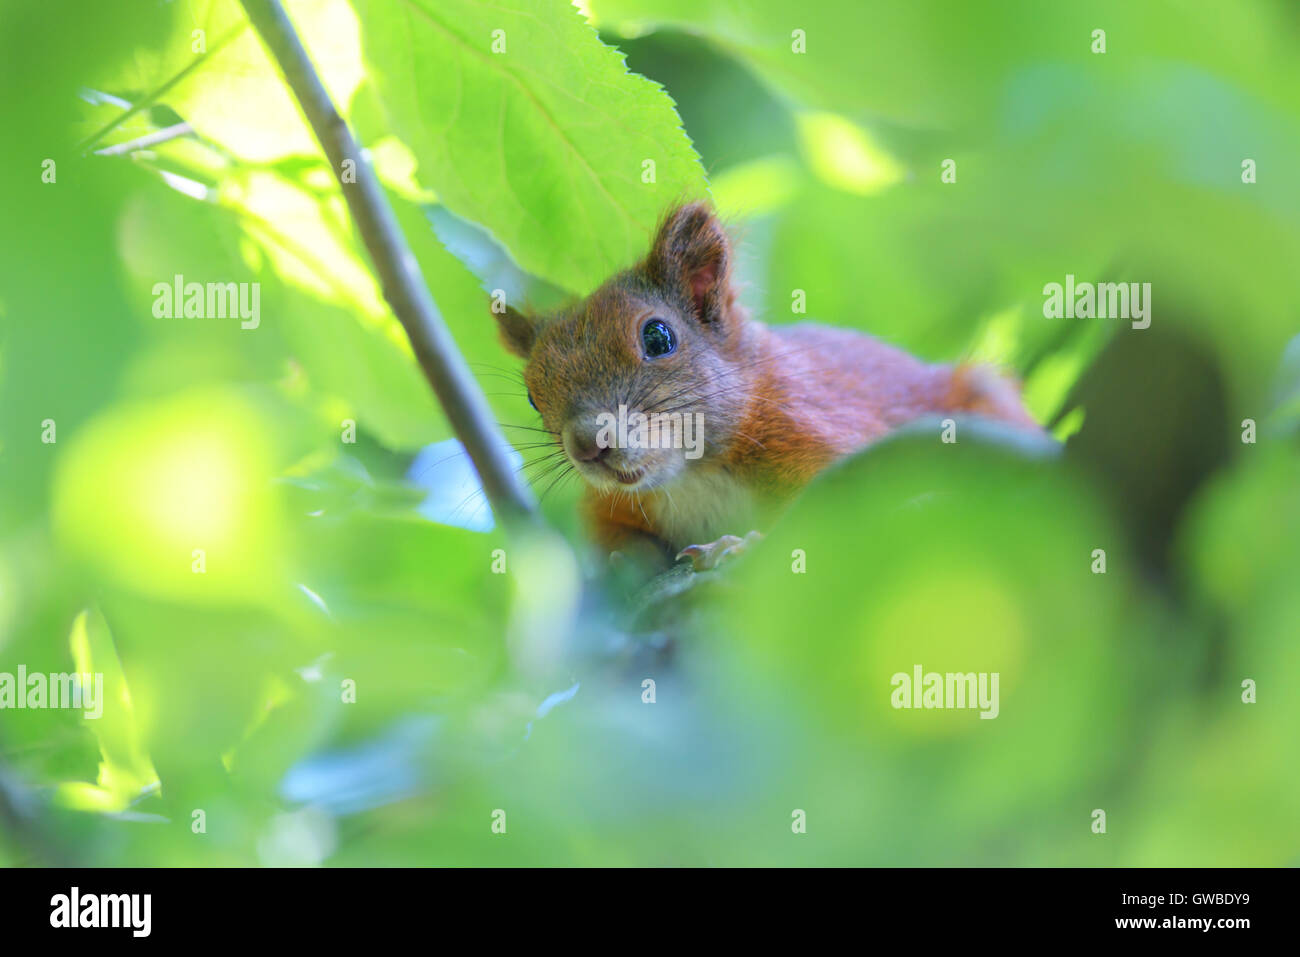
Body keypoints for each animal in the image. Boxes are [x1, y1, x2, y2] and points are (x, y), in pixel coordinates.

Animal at [493, 203, 1040, 571]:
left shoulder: (817, 430)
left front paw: (737, 545)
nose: (589, 445)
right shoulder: (613, 508)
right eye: (532, 396)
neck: (691, 476)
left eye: (658, 336)